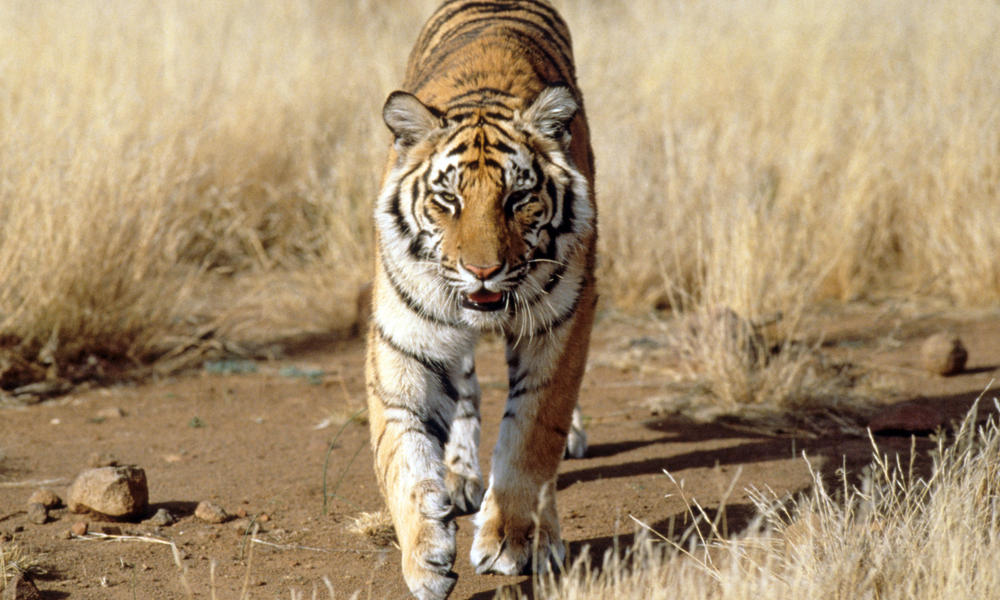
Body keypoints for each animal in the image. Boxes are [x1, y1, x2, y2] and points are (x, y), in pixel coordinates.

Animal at [364, 1, 597, 598]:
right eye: (447, 200)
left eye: (518, 198)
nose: (483, 271)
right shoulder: (403, 340)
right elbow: (400, 451)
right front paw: (424, 556)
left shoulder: (561, 323)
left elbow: (531, 434)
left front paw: (513, 541)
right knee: (465, 389)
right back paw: (459, 474)